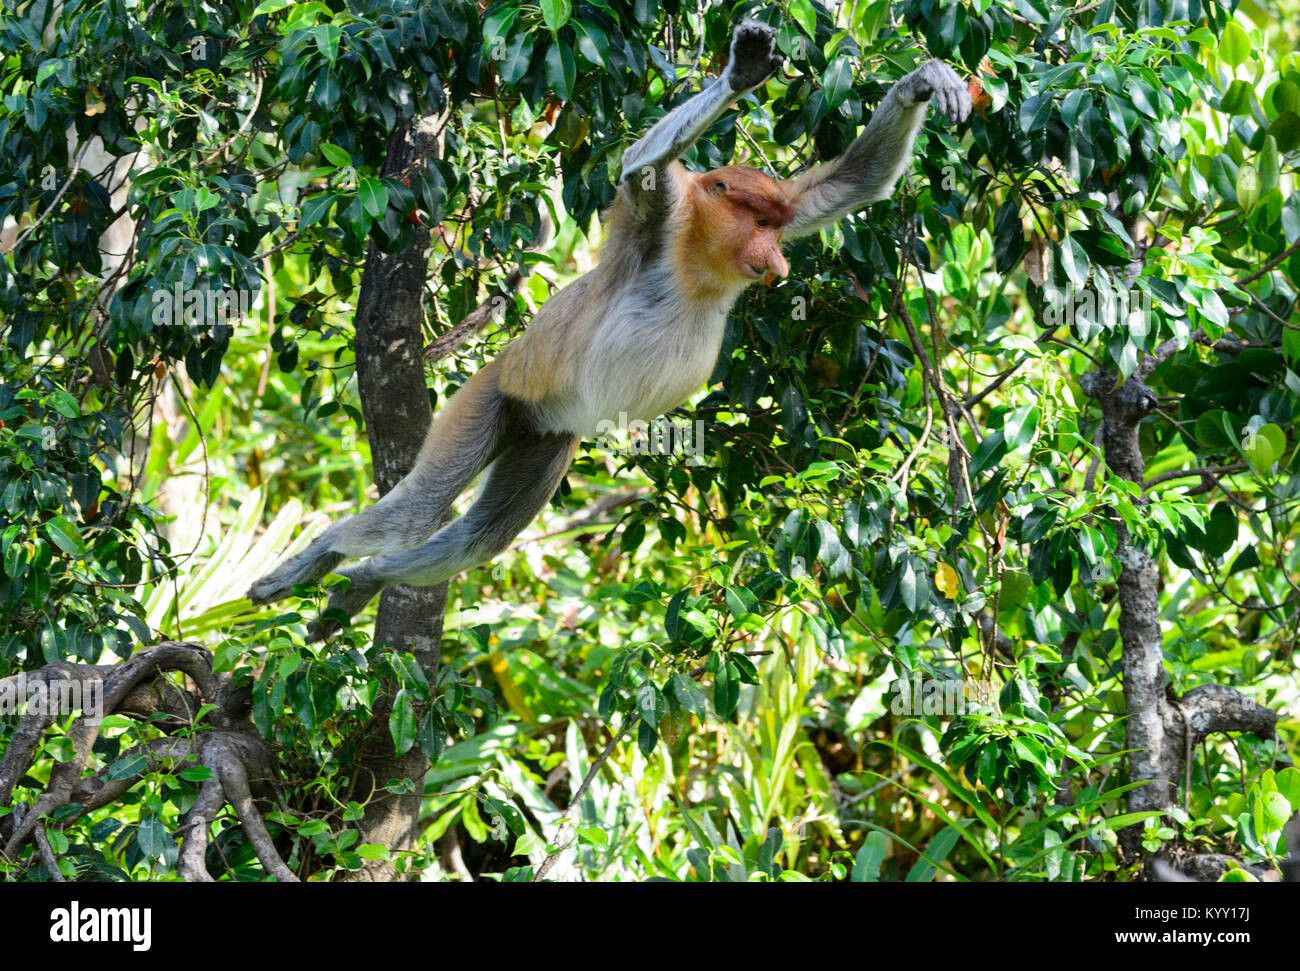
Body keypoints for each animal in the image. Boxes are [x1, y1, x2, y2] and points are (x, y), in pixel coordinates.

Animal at [247, 20, 971, 636]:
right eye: (756, 221)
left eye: (775, 222)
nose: (777, 258)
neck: (698, 267)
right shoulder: (658, 222)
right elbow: (639, 170)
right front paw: (741, 72)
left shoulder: (789, 205)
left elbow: (853, 183)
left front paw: (924, 81)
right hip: (490, 399)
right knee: (419, 509)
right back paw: (317, 560)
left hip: (545, 435)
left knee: (481, 536)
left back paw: (362, 582)